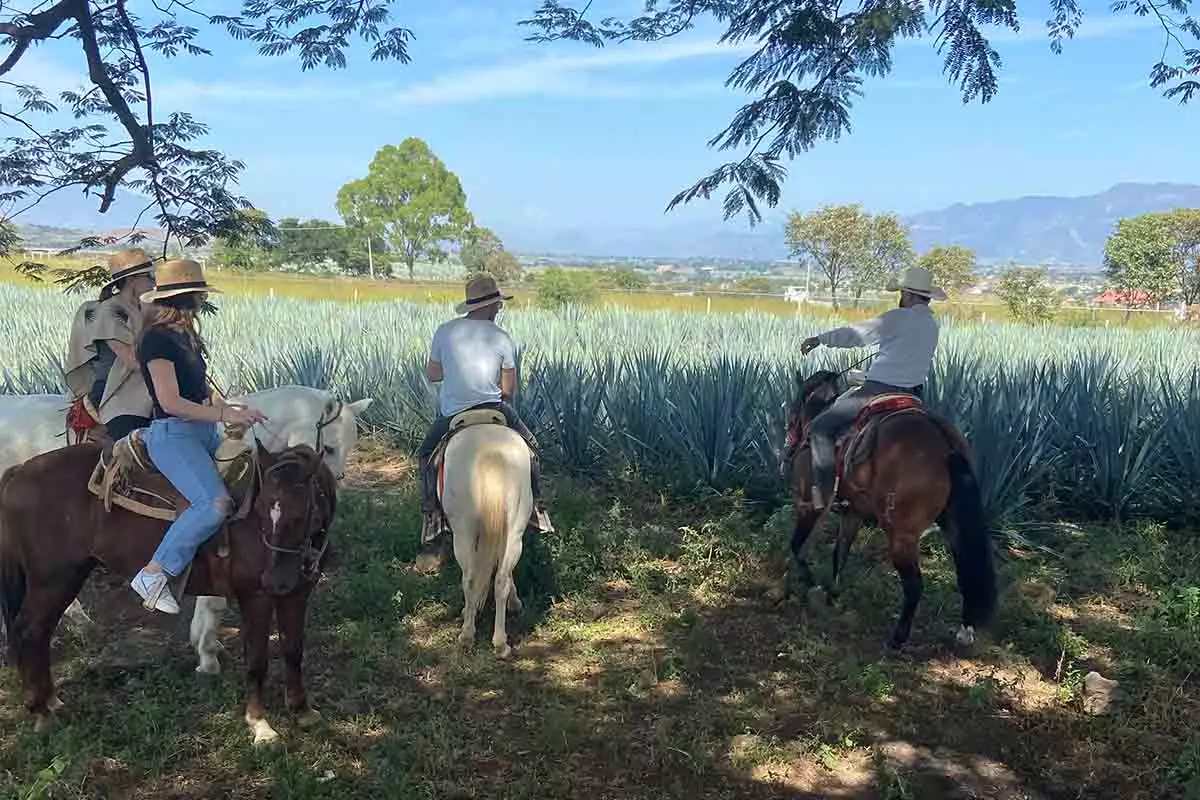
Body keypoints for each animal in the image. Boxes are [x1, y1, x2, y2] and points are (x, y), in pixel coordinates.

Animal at [1, 438, 338, 743]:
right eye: (262, 508)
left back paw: (51, 701)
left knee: (39, 633)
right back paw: (41, 711)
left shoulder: (297, 595)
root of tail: (19, 471)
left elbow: (293, 650)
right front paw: (260, 726)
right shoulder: (255, 598)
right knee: (29, 630)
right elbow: (257, 661)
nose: (275, 580)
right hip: (53, 579)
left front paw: (303, 710)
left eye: (301, 514)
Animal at [441, 419, 530, 657]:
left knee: (469, 579)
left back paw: (467, 634)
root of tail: (491, 451)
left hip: (463, 532)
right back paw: (500, 642)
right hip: (515, 532)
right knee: (500, 580)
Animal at [777, 369, 993, 652]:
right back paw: (965, 630)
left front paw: (814, 588)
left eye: (793, 411)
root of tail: (944, 443)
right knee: (967, 572)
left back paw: (897, 639)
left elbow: (796, 546)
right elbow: (840, 553)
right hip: (954, 527)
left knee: (914, 585)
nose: (787, 451)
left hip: (901, 535)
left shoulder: (806, 506)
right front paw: (834, 594)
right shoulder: (853, 513)